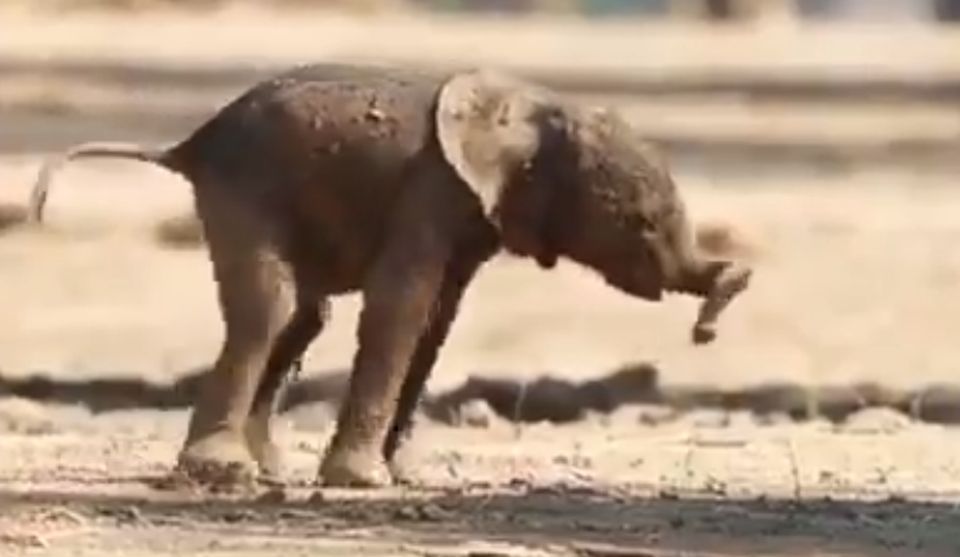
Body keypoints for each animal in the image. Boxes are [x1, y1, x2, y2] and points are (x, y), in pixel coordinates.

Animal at [28, 63, 752, 488]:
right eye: (641, 221)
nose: (707, 330)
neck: (533, 109)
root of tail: (188, 143)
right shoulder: (431, 189)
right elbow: (402, 305)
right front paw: (365, 482)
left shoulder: (470, 215)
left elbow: (436, 321)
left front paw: (405, 476)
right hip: (244, 192)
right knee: (270, 308)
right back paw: (222, 472)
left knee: (303, 318)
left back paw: (269, 470)